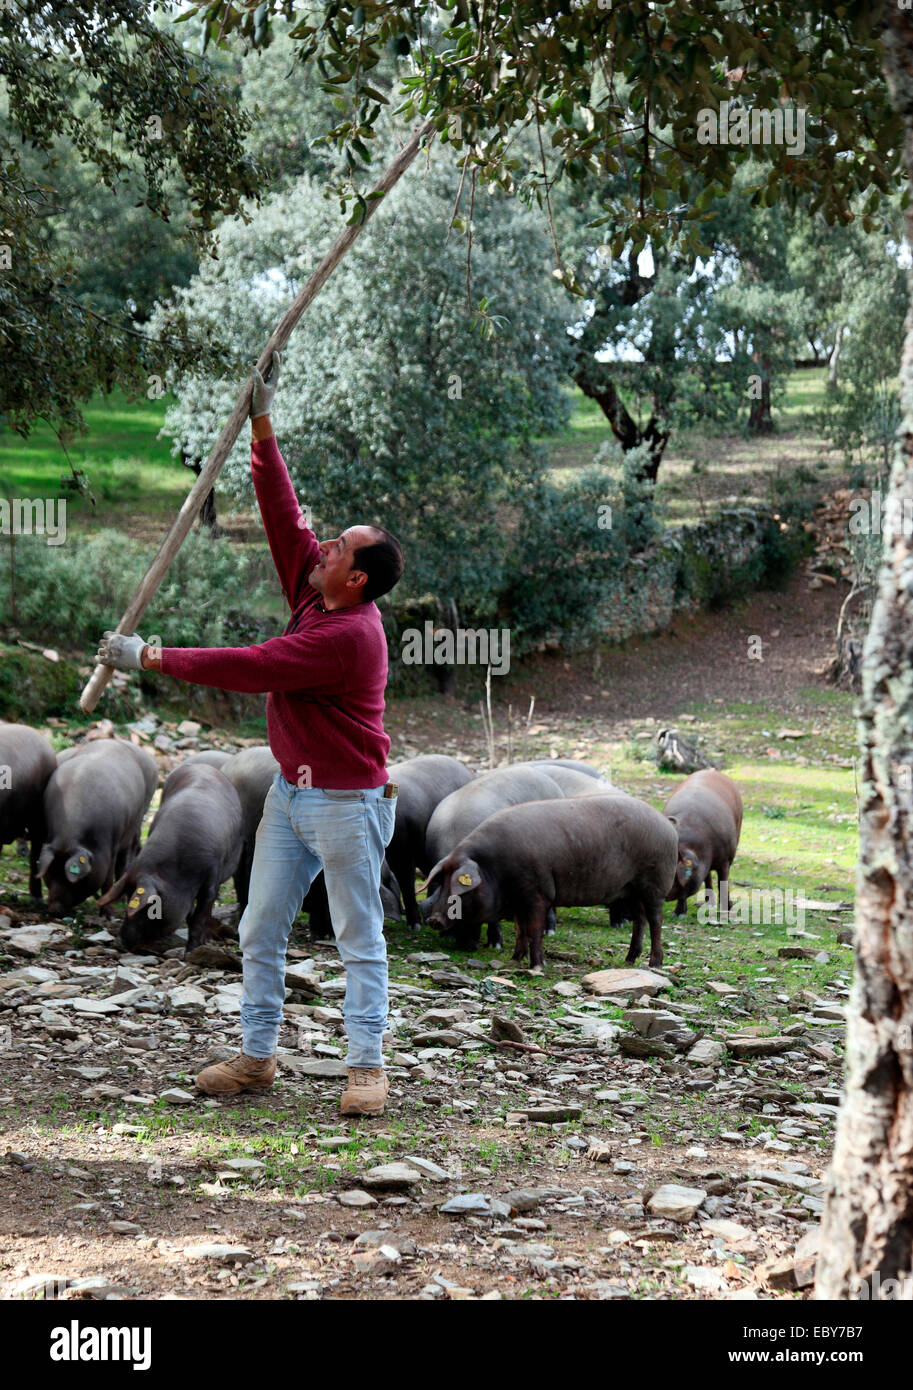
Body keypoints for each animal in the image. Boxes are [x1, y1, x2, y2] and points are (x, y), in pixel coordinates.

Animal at [38, 740, 157, 914]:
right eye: (50, 873)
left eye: (75, 880)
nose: (54, 909)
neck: (69, 836)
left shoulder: (113, 843)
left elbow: (108, 878)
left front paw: (107, 914)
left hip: (141, 813)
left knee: (126, 855)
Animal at [97, 762, 244, 952]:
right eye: (128, 897)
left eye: (152, 908)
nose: (120, 942)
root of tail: (200, 764)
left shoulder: (211, 877)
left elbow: (200, 917)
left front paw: (192, 951)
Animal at [423, 792, 678, 968]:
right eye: (441, 883)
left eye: (460, 889)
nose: (434, 919)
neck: (495, 869)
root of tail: (667, 824)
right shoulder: (518, 899)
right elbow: (520, 930)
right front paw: (515, 960)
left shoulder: (537, 893)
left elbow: (534, 929)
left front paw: (536, 966)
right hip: (630, 890)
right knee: (639, 920)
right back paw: (628, 961)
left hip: (655, 883)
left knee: (655, 921)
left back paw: (654, 964)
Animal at [663, 769, 743, 915]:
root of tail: (712, 771)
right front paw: (679, 913)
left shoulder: (725, 860)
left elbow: (723, 883)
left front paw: (728, 910)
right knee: (708, 877)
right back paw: (709, 903)